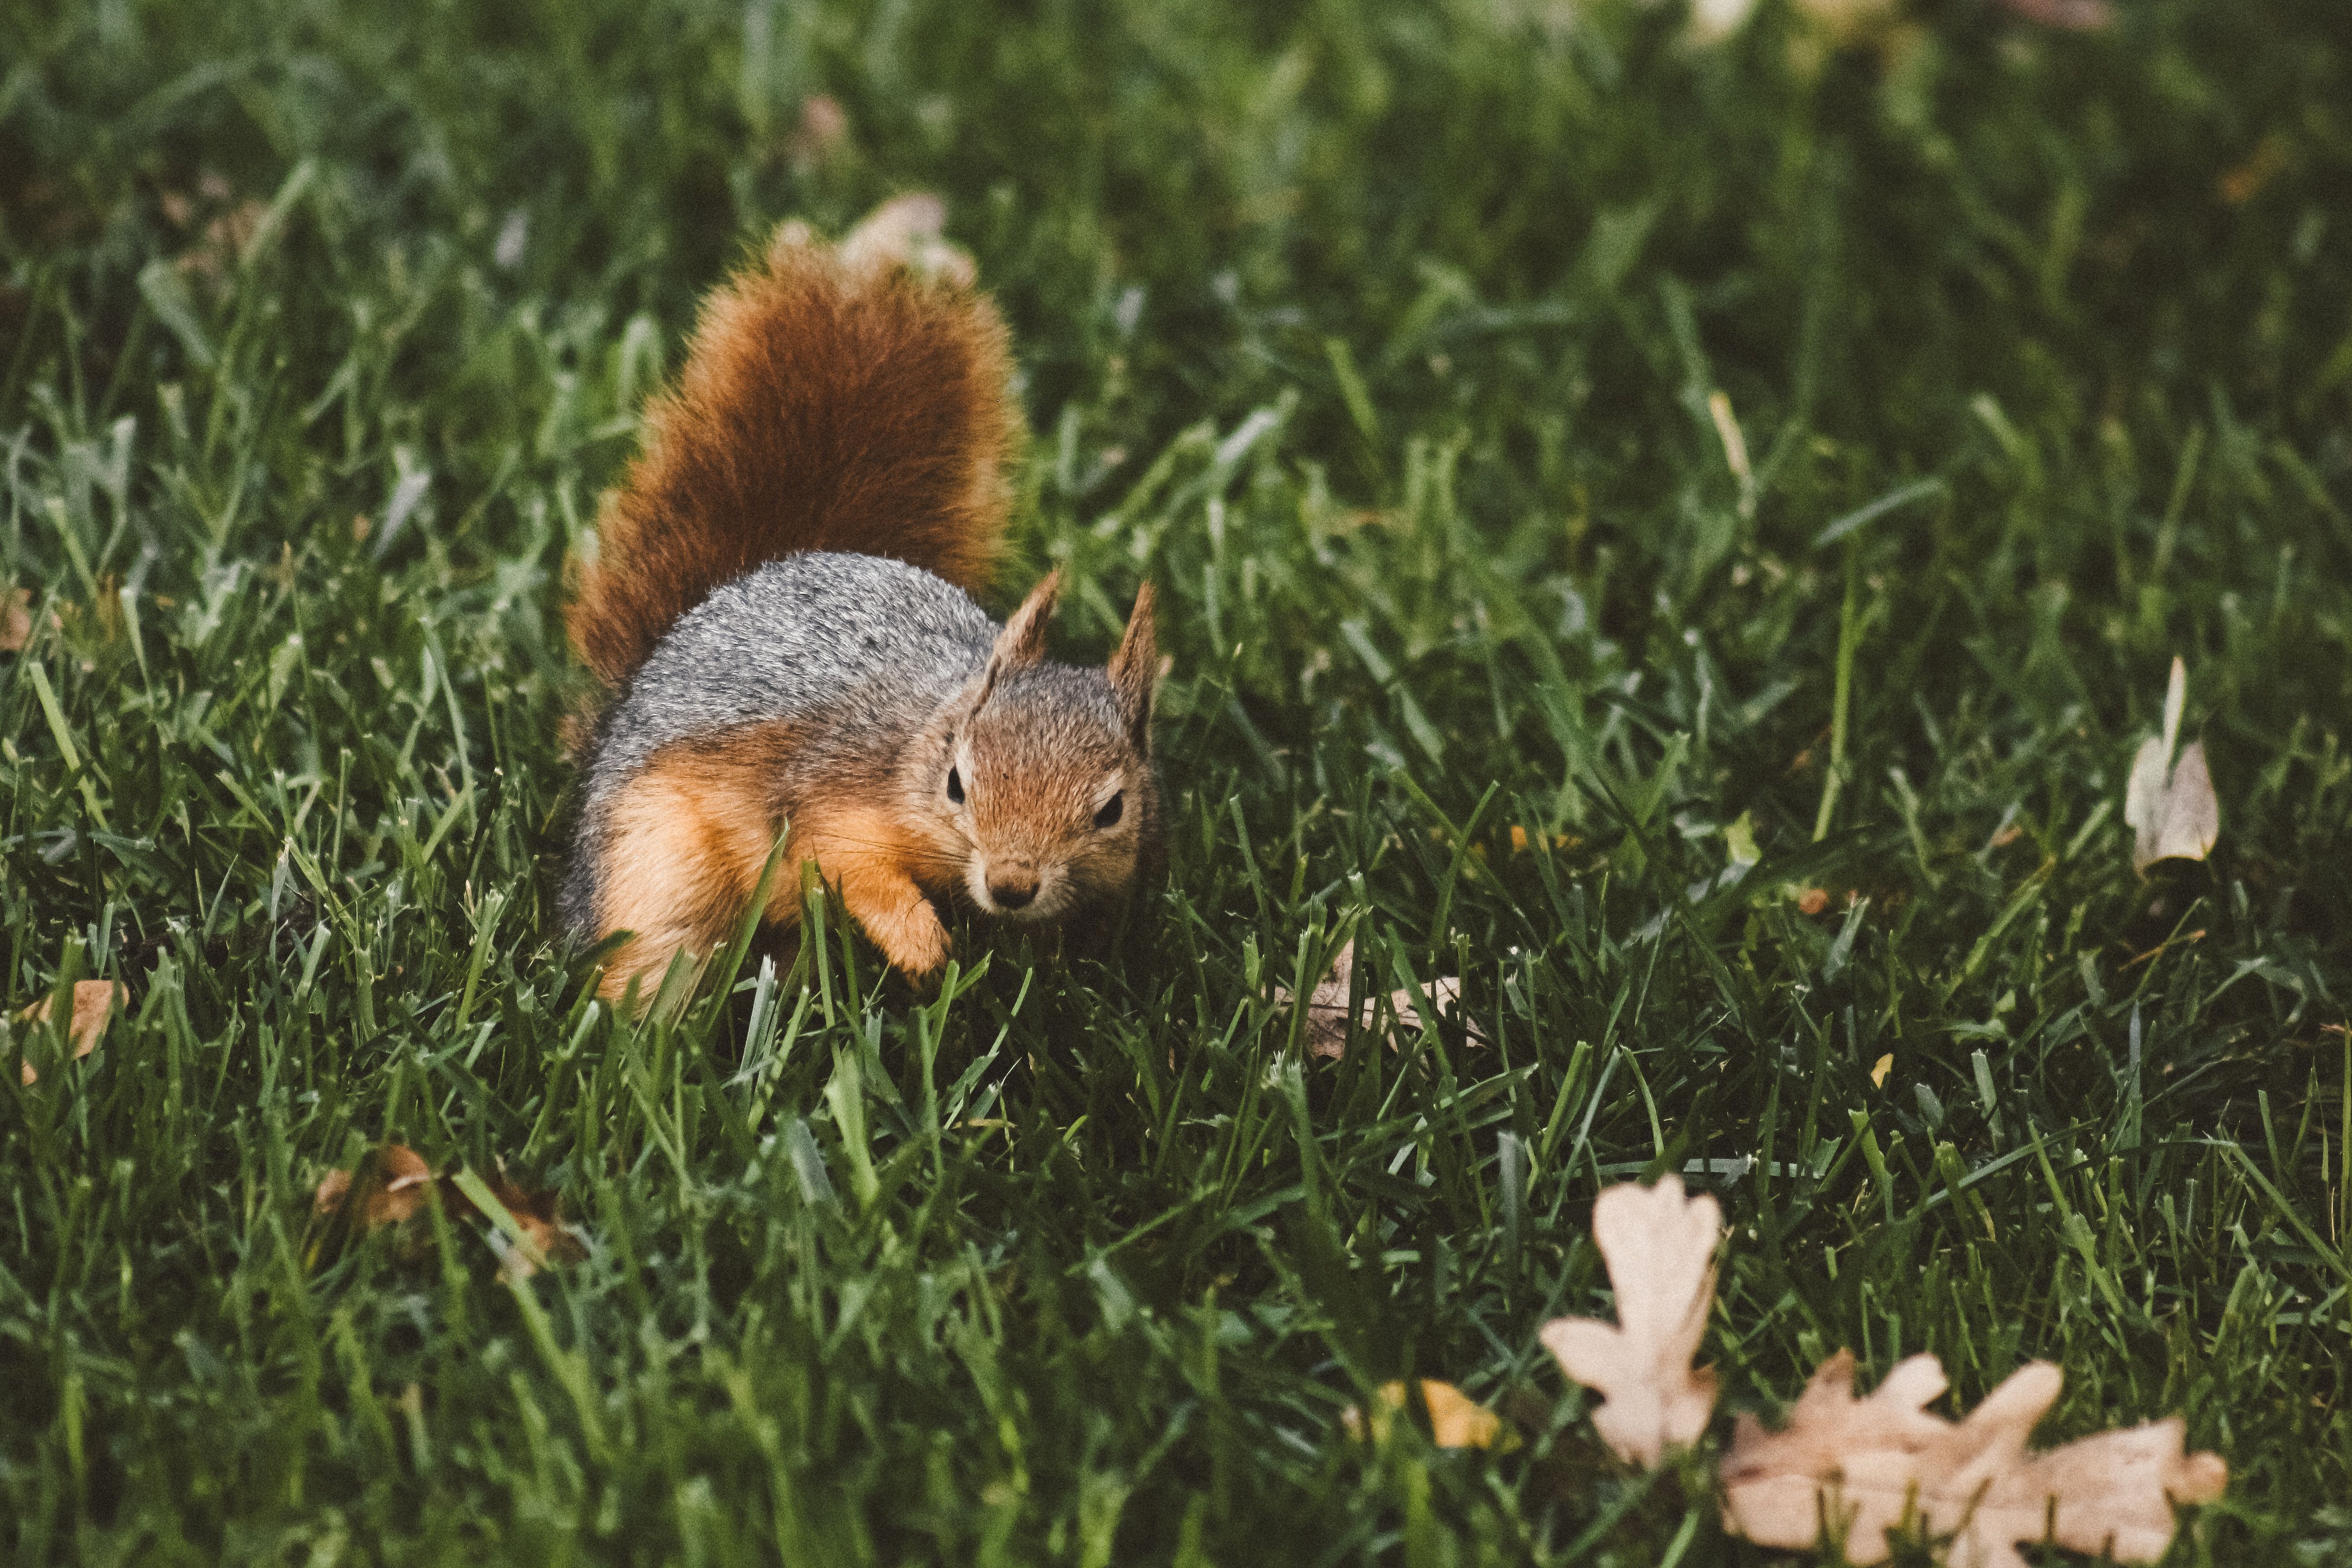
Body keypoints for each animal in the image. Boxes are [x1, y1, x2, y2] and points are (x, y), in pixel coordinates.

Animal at [560, 214, 1161, 1002]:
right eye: (957, 784)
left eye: (1112, 810)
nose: (1012, 886)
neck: (918, 739)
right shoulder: (828, 798)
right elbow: (841, 866)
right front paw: (922, 947)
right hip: (652, 867)